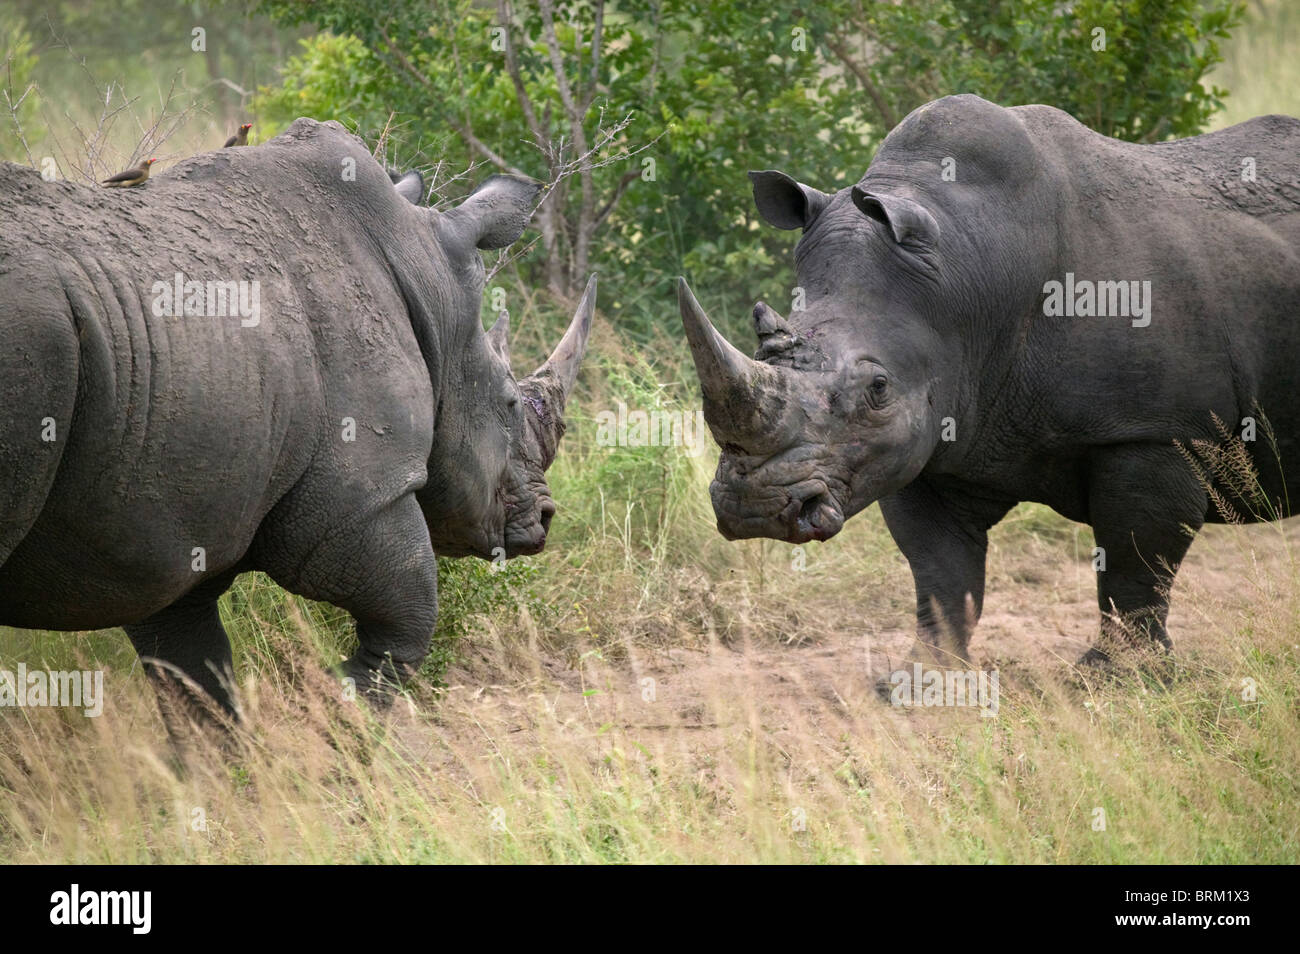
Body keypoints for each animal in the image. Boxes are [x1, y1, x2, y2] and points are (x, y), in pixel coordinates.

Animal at [0, 118, 593, 716]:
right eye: (510, 403)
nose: (545, 519)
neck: (427, 279)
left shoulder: (166, 529)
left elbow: (192, 676)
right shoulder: (356, 504)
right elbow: (406, 624)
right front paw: (338, 717)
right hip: (32, 336)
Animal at [679, 94, 1300, 668]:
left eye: (877, 389)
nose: (754, 509)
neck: (967, 270)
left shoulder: (1156, 427)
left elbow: (1135, 560)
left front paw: (1118, 679)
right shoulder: (930, 430)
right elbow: (939, 570)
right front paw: (923, 678)